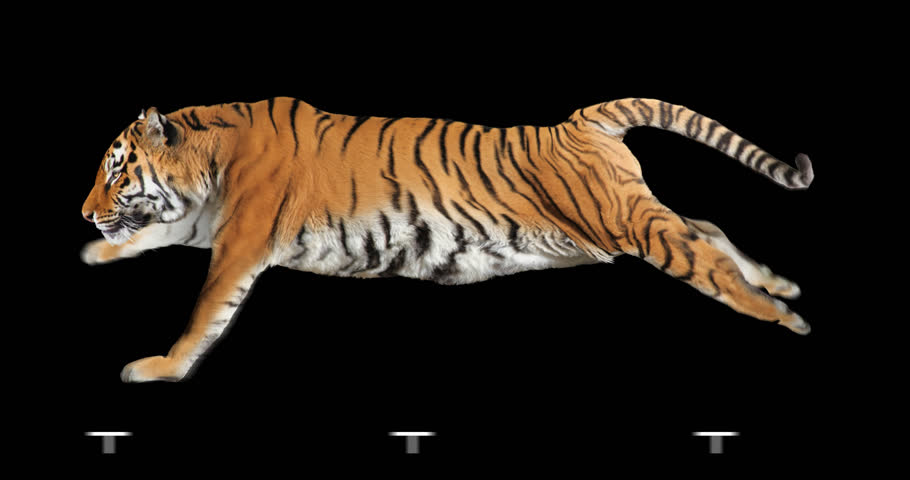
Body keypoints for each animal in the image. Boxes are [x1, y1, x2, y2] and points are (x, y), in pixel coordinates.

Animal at [81, 97, 814, 382]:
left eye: (116, 171)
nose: (85, 215)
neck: (210, 156)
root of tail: (582, 120)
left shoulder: (239, 241)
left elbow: (204, 313)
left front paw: (159, 368)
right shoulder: (206, 221)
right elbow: (155, 235)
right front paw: (100, 251)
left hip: (625, 223)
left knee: (706, 258)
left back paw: (782, 314)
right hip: (616, 221)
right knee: (708, 227)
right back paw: (778, 281)